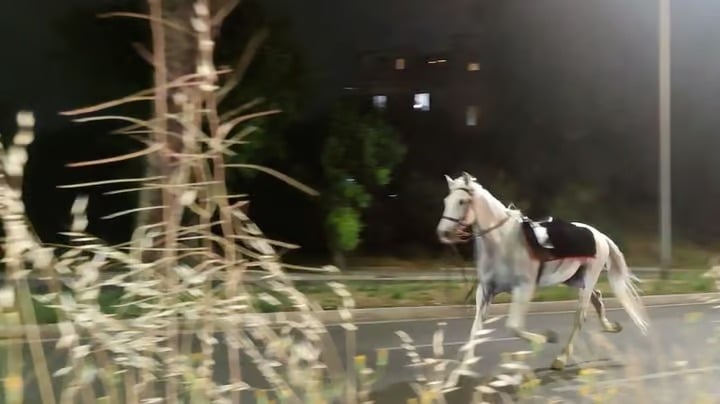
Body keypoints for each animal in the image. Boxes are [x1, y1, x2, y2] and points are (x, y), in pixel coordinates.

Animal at [435, 172, 649, 370]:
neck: (504, 242)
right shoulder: (486, 291)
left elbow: (513, 327)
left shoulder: (523, 289)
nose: (443, 233)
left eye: (462, 201)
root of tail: (600, 235)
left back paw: (561, 359)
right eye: (446, 201)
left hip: (588, 278)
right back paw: (610, 327)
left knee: (580, 316)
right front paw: (464, 367)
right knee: (597, 298)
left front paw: (546, 338)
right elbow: (476, 328)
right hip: (573, 279)